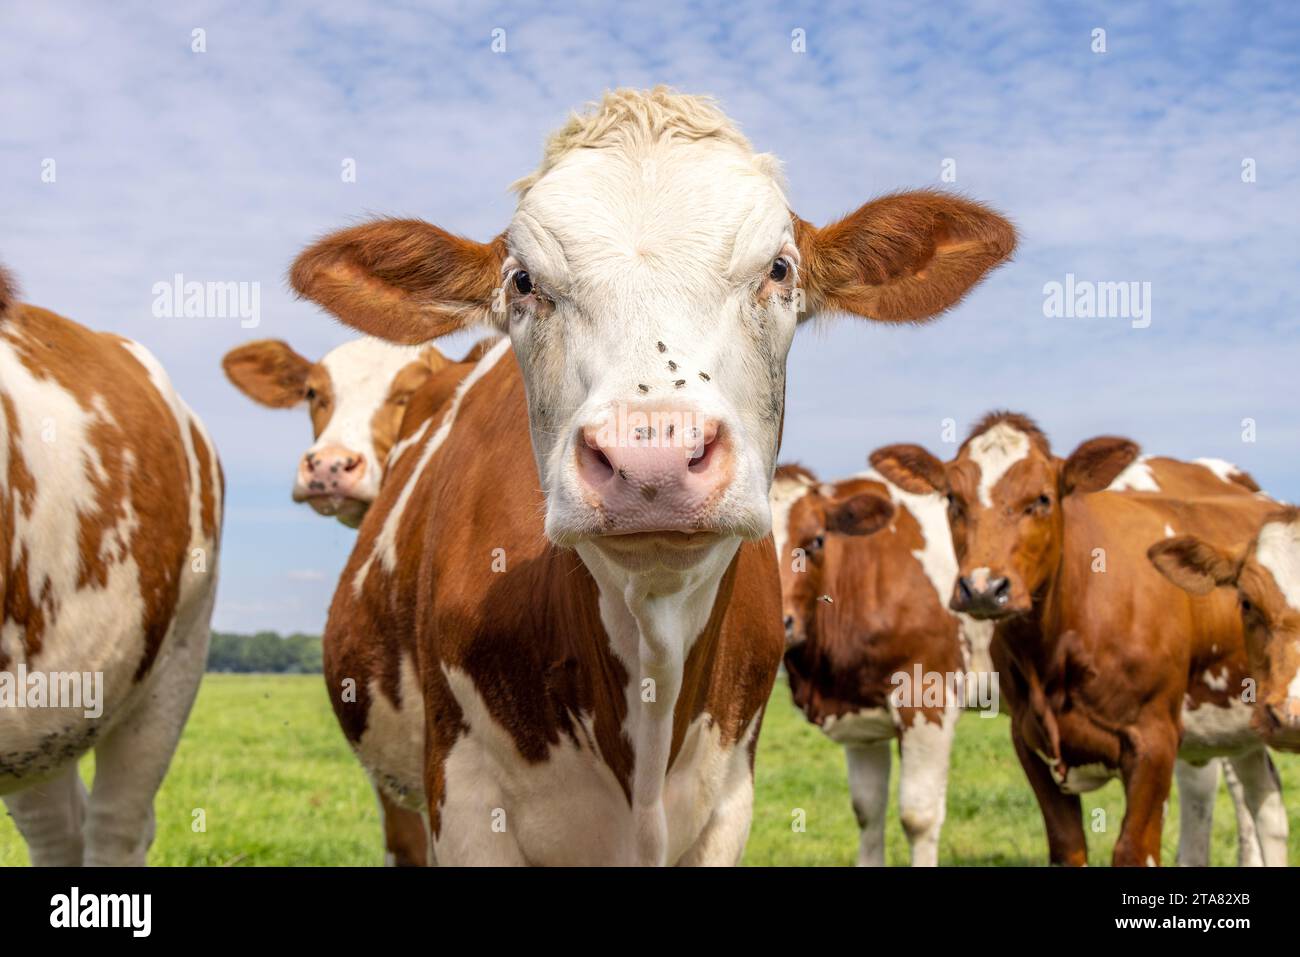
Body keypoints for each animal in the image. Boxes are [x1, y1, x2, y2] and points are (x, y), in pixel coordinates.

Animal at [770, 462, 996, 865]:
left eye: (817, 541)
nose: (782, 624)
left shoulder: (928, 699)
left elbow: (919, 816)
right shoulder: (860, 716)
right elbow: (867, 810)